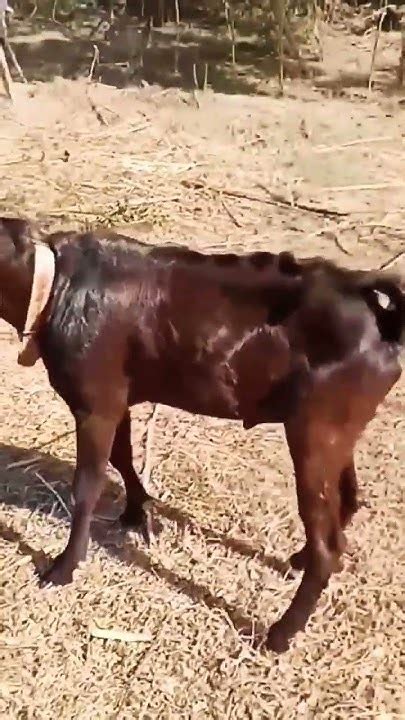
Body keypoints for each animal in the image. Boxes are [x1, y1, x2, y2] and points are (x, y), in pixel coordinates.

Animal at [0, 216, 403, 652]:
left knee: (327, 543)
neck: (54, 282)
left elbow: (86, 486)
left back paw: (280, 633)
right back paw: (299, 559)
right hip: (337, 431)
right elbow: (122, 457)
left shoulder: (95, 404)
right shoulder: (116, 396)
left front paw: (64, 567)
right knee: (348, 499)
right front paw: (138, 513)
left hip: (314, 434)